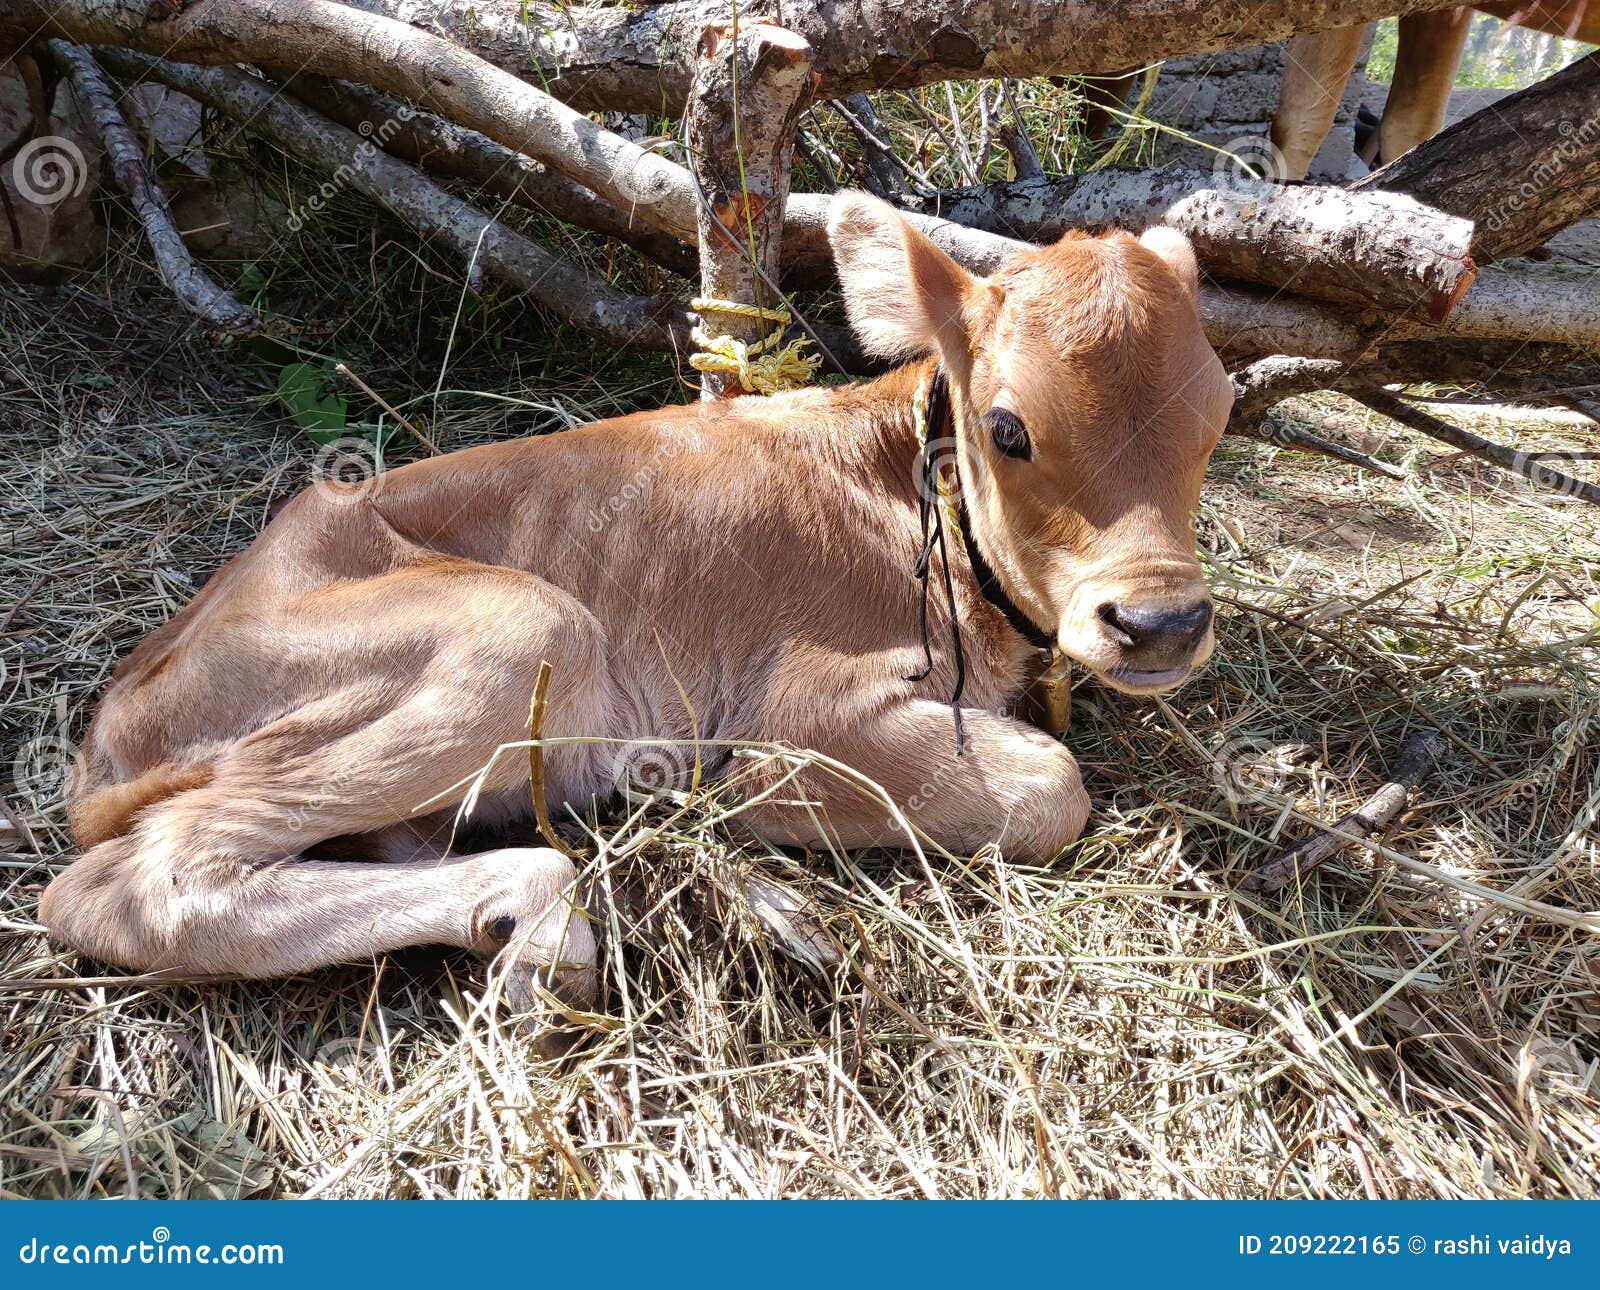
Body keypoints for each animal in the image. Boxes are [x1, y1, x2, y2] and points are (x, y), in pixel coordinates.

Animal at [37, 193, 1232, 1030]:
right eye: (1007, 427)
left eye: (1219, 415)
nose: (1161, 624)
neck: (911, 493)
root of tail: (112, 723)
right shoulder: (800, 720)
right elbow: (1053, 787)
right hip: (517, 628)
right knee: (135, 885)